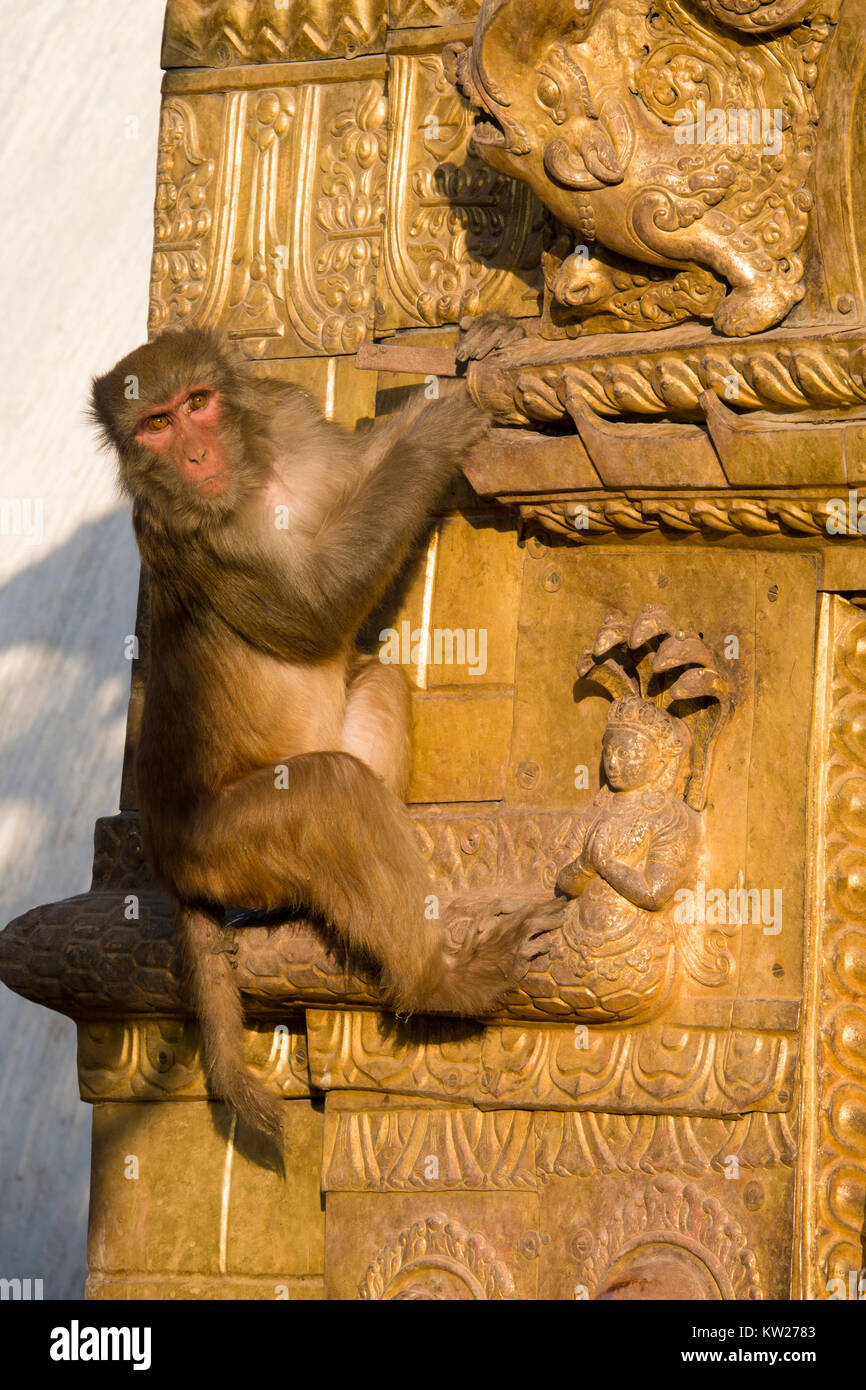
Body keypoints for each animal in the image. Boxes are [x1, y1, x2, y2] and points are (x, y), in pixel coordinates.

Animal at [90, 327, 563, 1144]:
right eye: (153, 424)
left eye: (196, 402)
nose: (194, 456)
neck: (254, 479)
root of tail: (171, 865)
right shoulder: (192, 535)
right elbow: (315, 606)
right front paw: (446, 424)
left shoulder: (291, 419)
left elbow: (361, 466)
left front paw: (462, 365)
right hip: (221, 846)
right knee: (327, 789)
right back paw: (436, 982)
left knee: (373, 684)